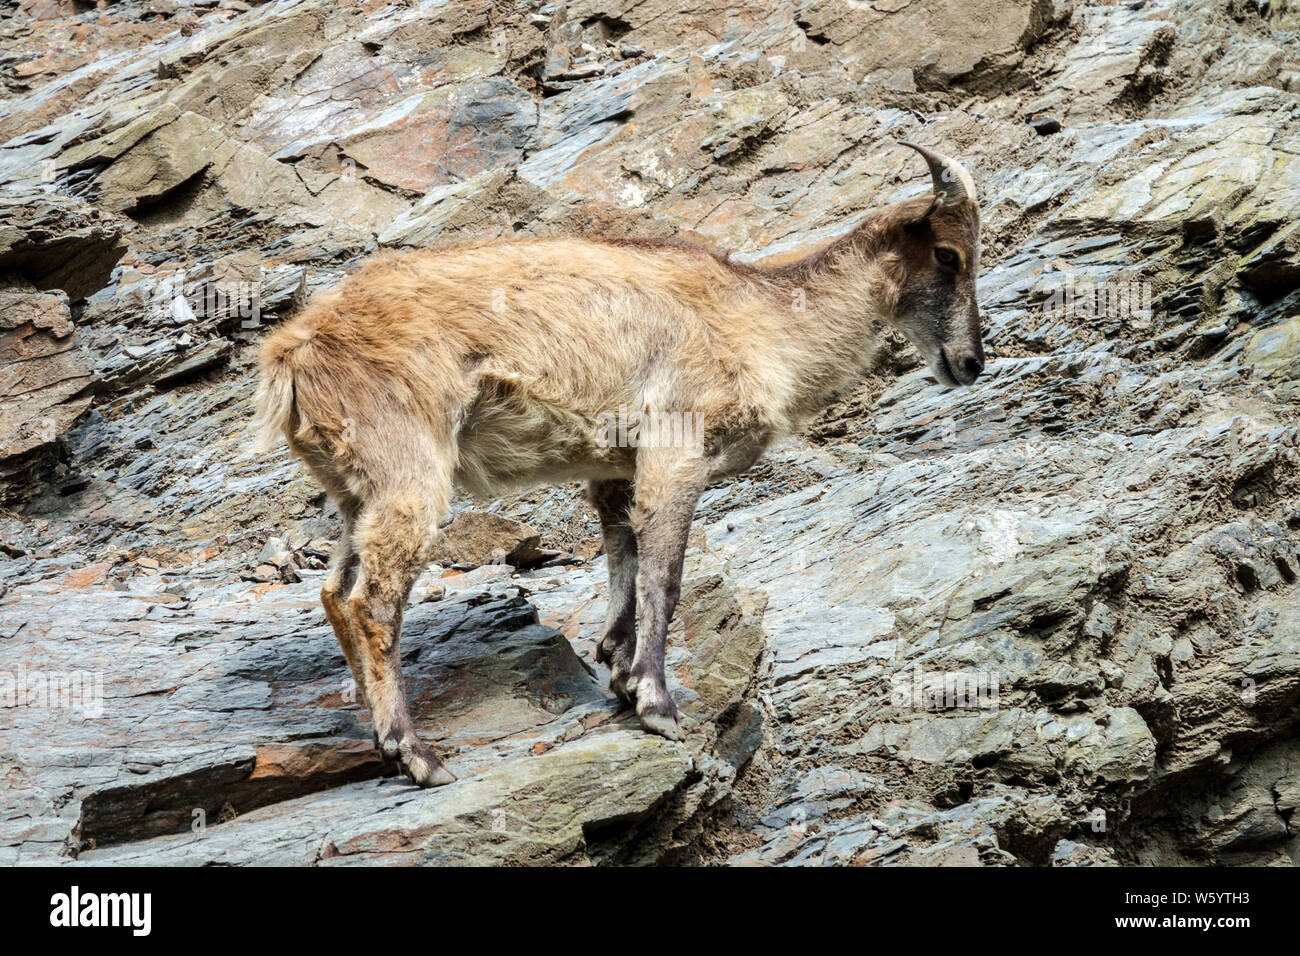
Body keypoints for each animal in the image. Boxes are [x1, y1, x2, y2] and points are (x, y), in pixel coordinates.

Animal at [253, 142, 984, 787]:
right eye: (948, 254)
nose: (971, 363)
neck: (761, 317)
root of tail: (292, 352)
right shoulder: (676, 449)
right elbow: (664, 575)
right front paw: (656, 701)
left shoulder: (615, 467)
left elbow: (623, 557)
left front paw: (619, 671)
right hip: (409, 472)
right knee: (374, 602)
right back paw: (415, 753)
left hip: (357, 490)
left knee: (336, 591)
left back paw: (376, 737)